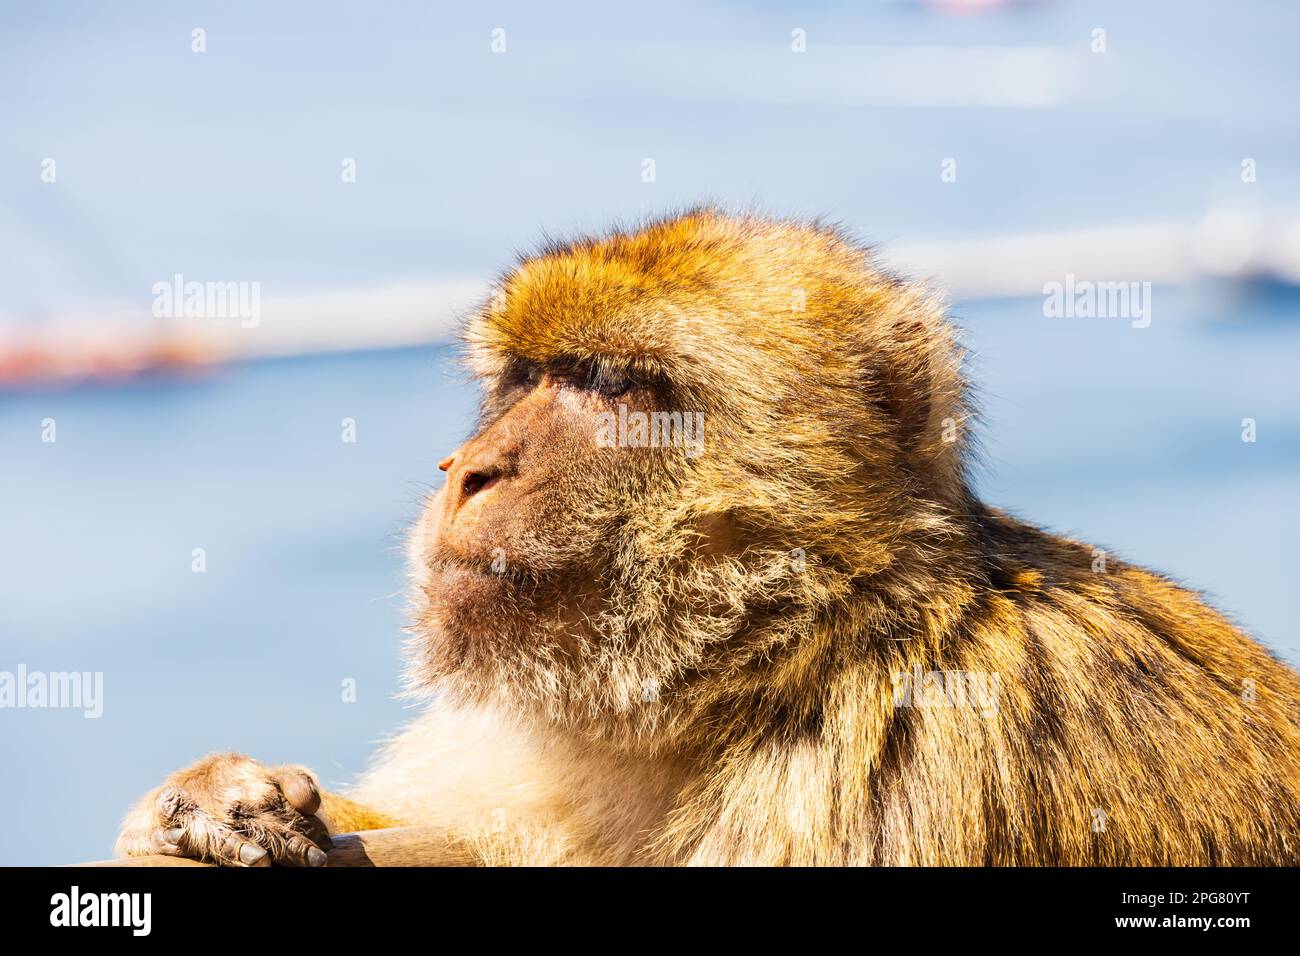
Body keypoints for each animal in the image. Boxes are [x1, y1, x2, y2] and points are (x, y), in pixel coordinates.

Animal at [114, 209, 1300, 868]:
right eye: (523, 378)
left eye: (614, 384)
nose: (469, 470)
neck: (794, 656)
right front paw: (202, 802)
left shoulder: (913, 759)